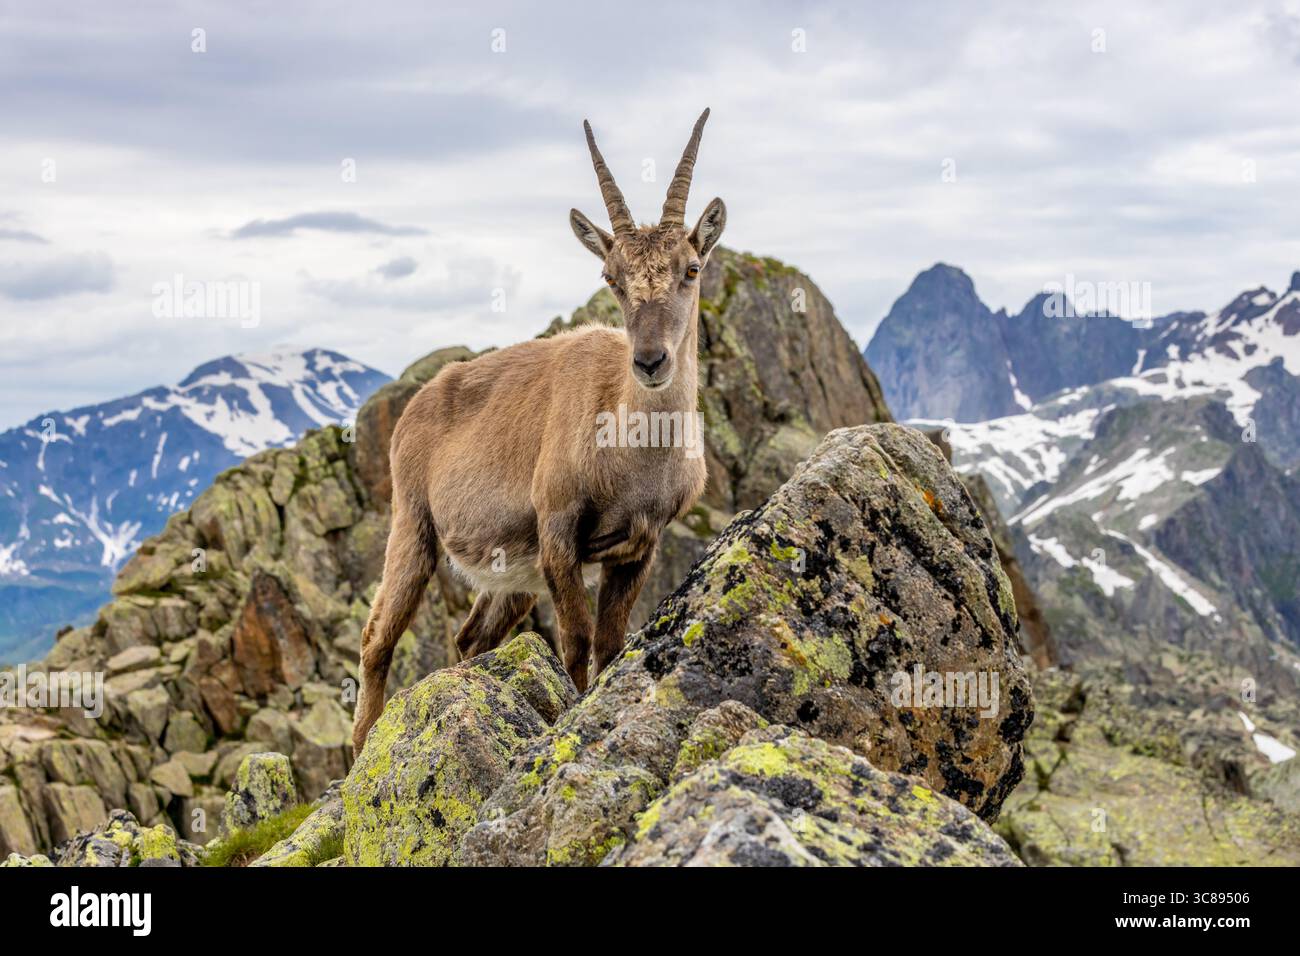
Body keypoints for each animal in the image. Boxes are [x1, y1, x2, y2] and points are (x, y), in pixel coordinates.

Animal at [352, 110, 726, 752]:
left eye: (691, 269)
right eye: (610, 276)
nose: (650, 360)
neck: (632, 452)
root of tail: (419, 402)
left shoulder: (639, 546)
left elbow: (609, 643)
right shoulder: (557, 532)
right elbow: (575, 644)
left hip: (510, 576)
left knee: (471, 637)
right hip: (414, 526)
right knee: (377, 637)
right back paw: (359, 751)